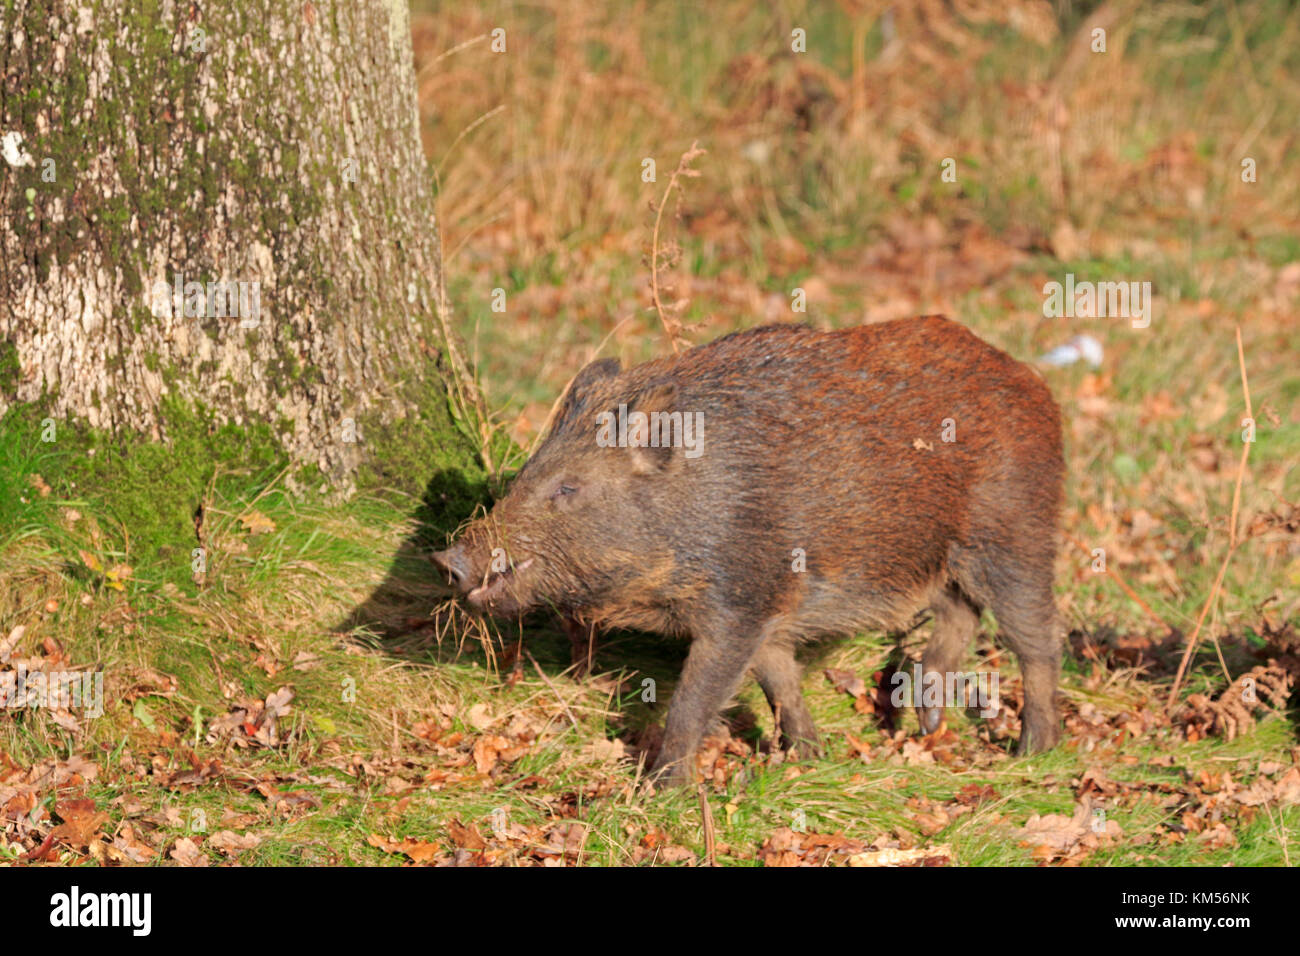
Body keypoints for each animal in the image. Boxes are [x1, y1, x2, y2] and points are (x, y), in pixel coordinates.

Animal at [433, 316, 1064, 786]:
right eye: (528, 470)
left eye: (569, 488)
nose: (449, 561)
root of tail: (1032, 381)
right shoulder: (765, 610)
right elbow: (778, 680)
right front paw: (808, 759)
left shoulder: (737, 604)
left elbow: (693, 700)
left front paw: (661, 791)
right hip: (945, 556)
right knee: (962, 611)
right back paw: (926, 726)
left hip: (1017, 536)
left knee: (1036, 641)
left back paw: (1033, 752)